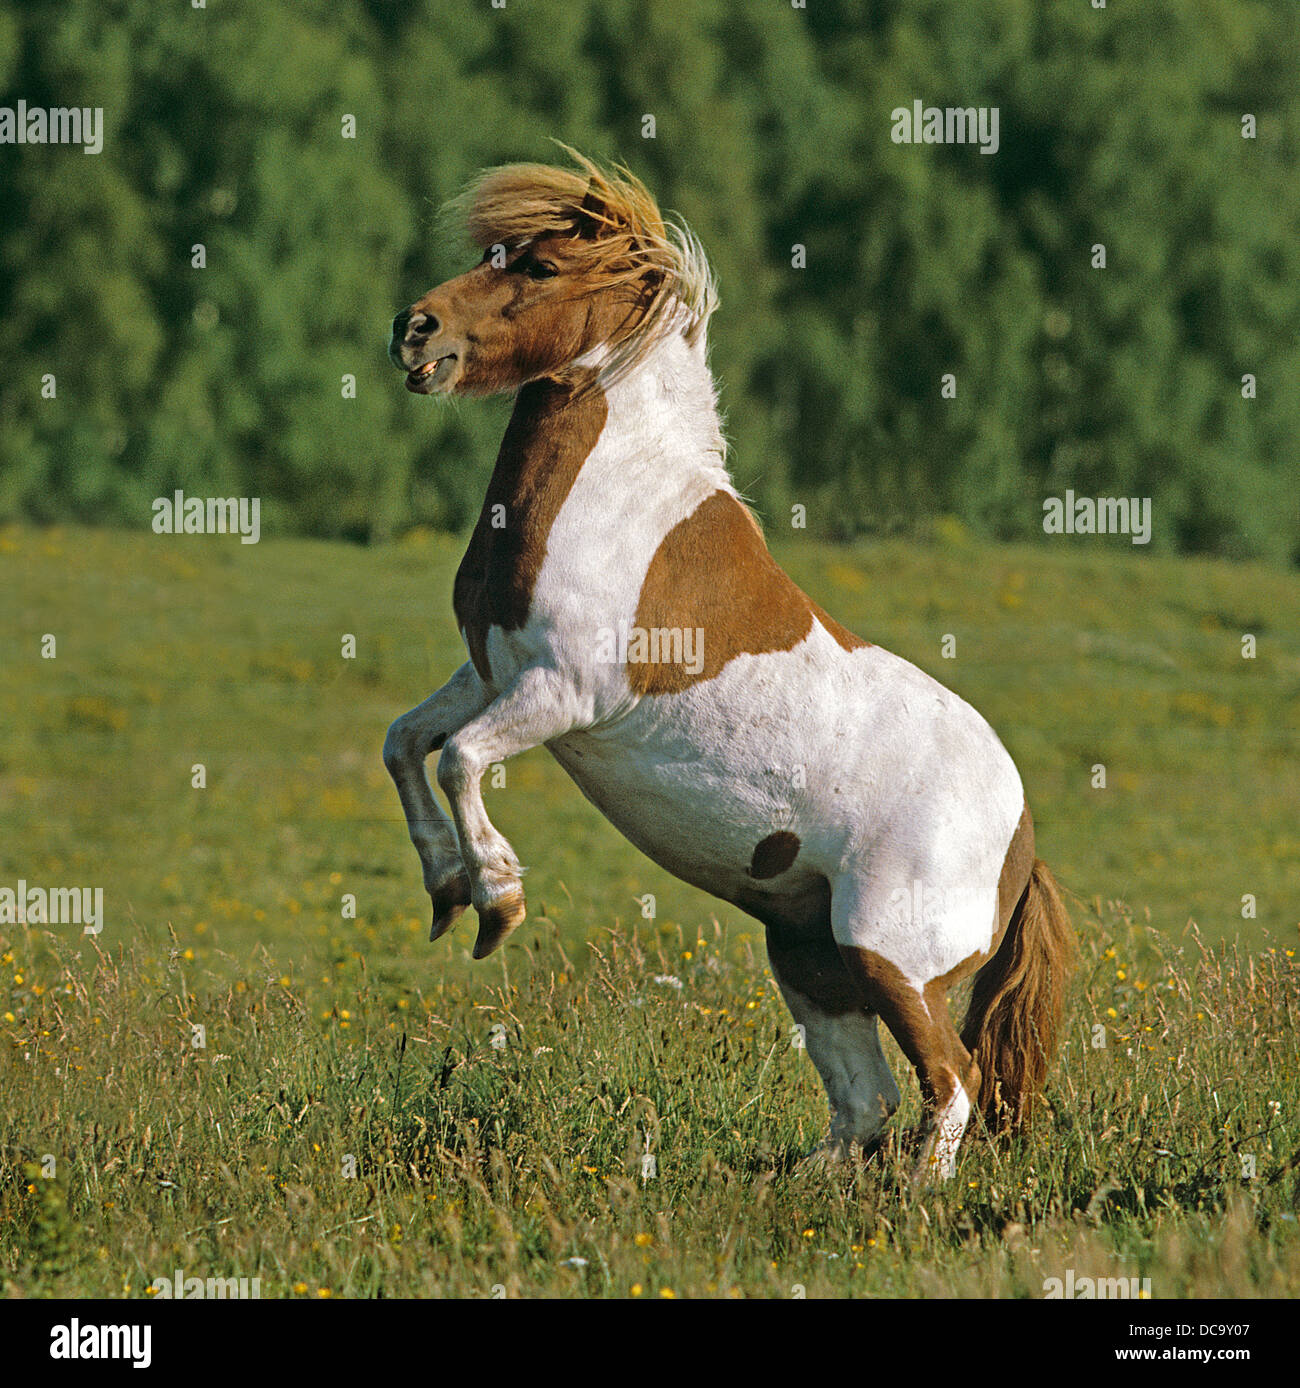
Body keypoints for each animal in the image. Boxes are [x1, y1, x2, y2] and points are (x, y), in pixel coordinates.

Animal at [383, 150, 1075, 1178]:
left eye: (540, 267)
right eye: (491, 254)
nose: (413, 330)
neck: (617, 500)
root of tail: (1021, 843)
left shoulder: (560, 693)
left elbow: (462, 759)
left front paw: (497, 902)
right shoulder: (489, 674)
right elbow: (407, 745)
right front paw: (444, 892)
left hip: (887, 960)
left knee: (950, 1083)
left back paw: (917, 1198)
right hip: (808, 956)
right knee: (865, 1102)